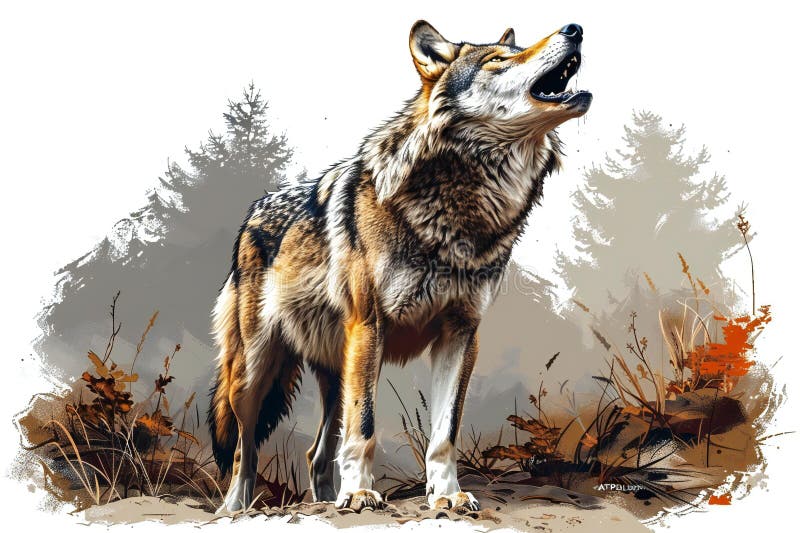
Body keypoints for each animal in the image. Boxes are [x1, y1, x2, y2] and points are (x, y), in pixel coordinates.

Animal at [208, 20, 591, 513]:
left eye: (518, 51)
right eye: (498, 61)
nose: (575, 28)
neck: (458, 212)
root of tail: (252, 212)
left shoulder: (460, 335)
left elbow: (445, 432)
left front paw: (446, 495)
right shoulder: (370, 325)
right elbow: (365, 427)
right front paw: (359, 492)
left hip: (338, 371)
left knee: (316, 453)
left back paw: (325, 500)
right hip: (256, 371)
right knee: (245, 446)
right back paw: (236, 509)